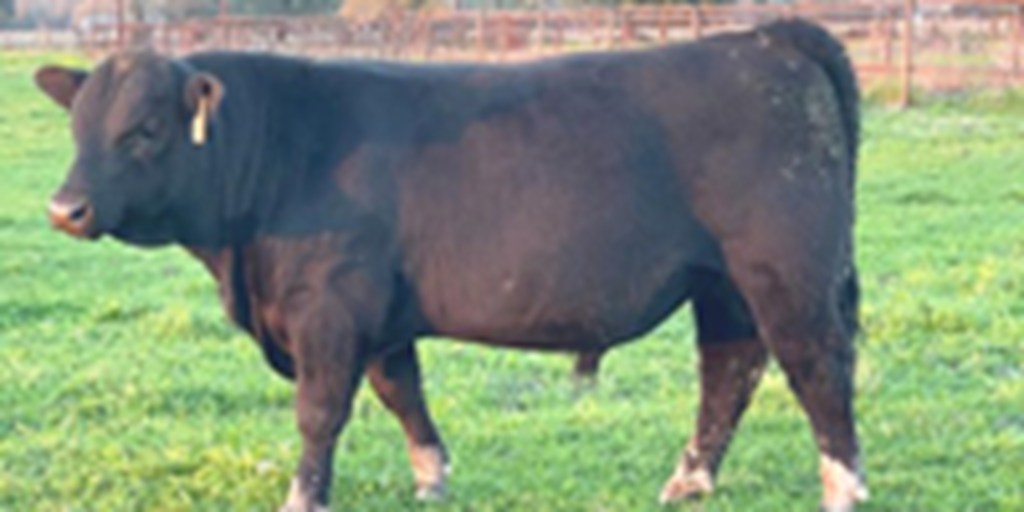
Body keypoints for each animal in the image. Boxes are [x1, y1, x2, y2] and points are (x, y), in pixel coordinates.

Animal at [35, 18, 866, 512]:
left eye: (144, 130)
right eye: (78, 127)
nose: (64, 208)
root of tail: (762, 38)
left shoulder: (329, 308)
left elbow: (319, 412)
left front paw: (304, 497)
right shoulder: (380, 311)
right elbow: (401, 389)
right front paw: (432, 476)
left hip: (785, 270)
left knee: (815, 366)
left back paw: (843, 487)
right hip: (722, 282)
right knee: (731, 367)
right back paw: (689, 481)